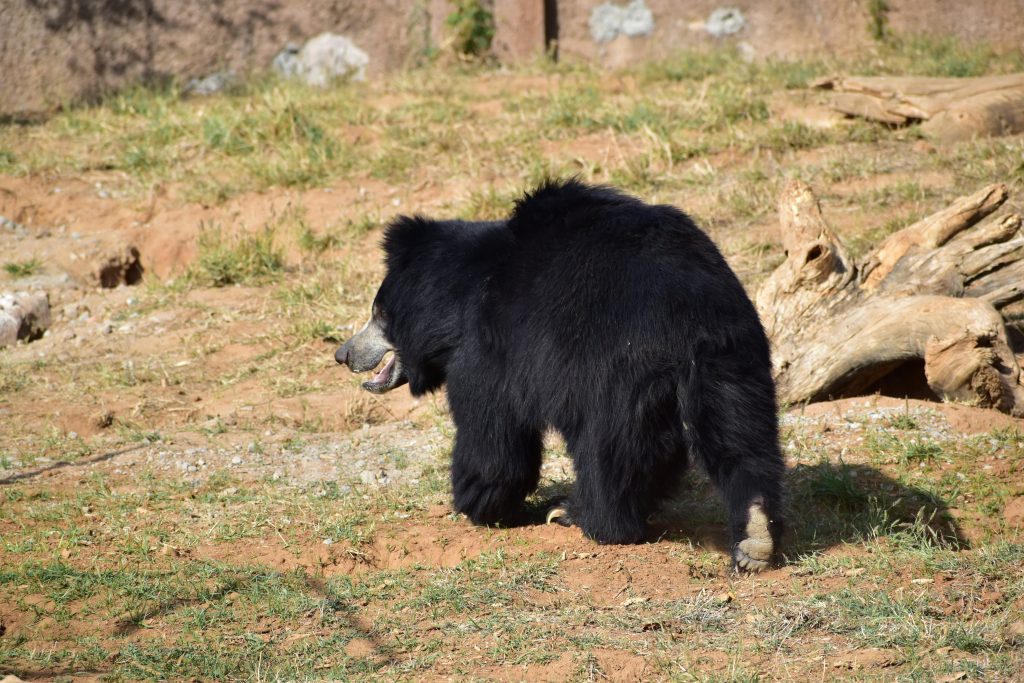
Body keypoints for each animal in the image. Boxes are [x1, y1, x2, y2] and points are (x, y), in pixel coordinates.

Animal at [336, 180, 785, 571]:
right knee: (738, 434)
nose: (344, 354)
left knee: (609, 450)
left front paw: (480, 504)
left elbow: (492, 436)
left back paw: (586, 519)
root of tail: (691, 310)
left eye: (378, 314)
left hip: (614, 366)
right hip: (731, 360)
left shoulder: (488, 350)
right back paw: (755, 537)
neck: (459, 294)